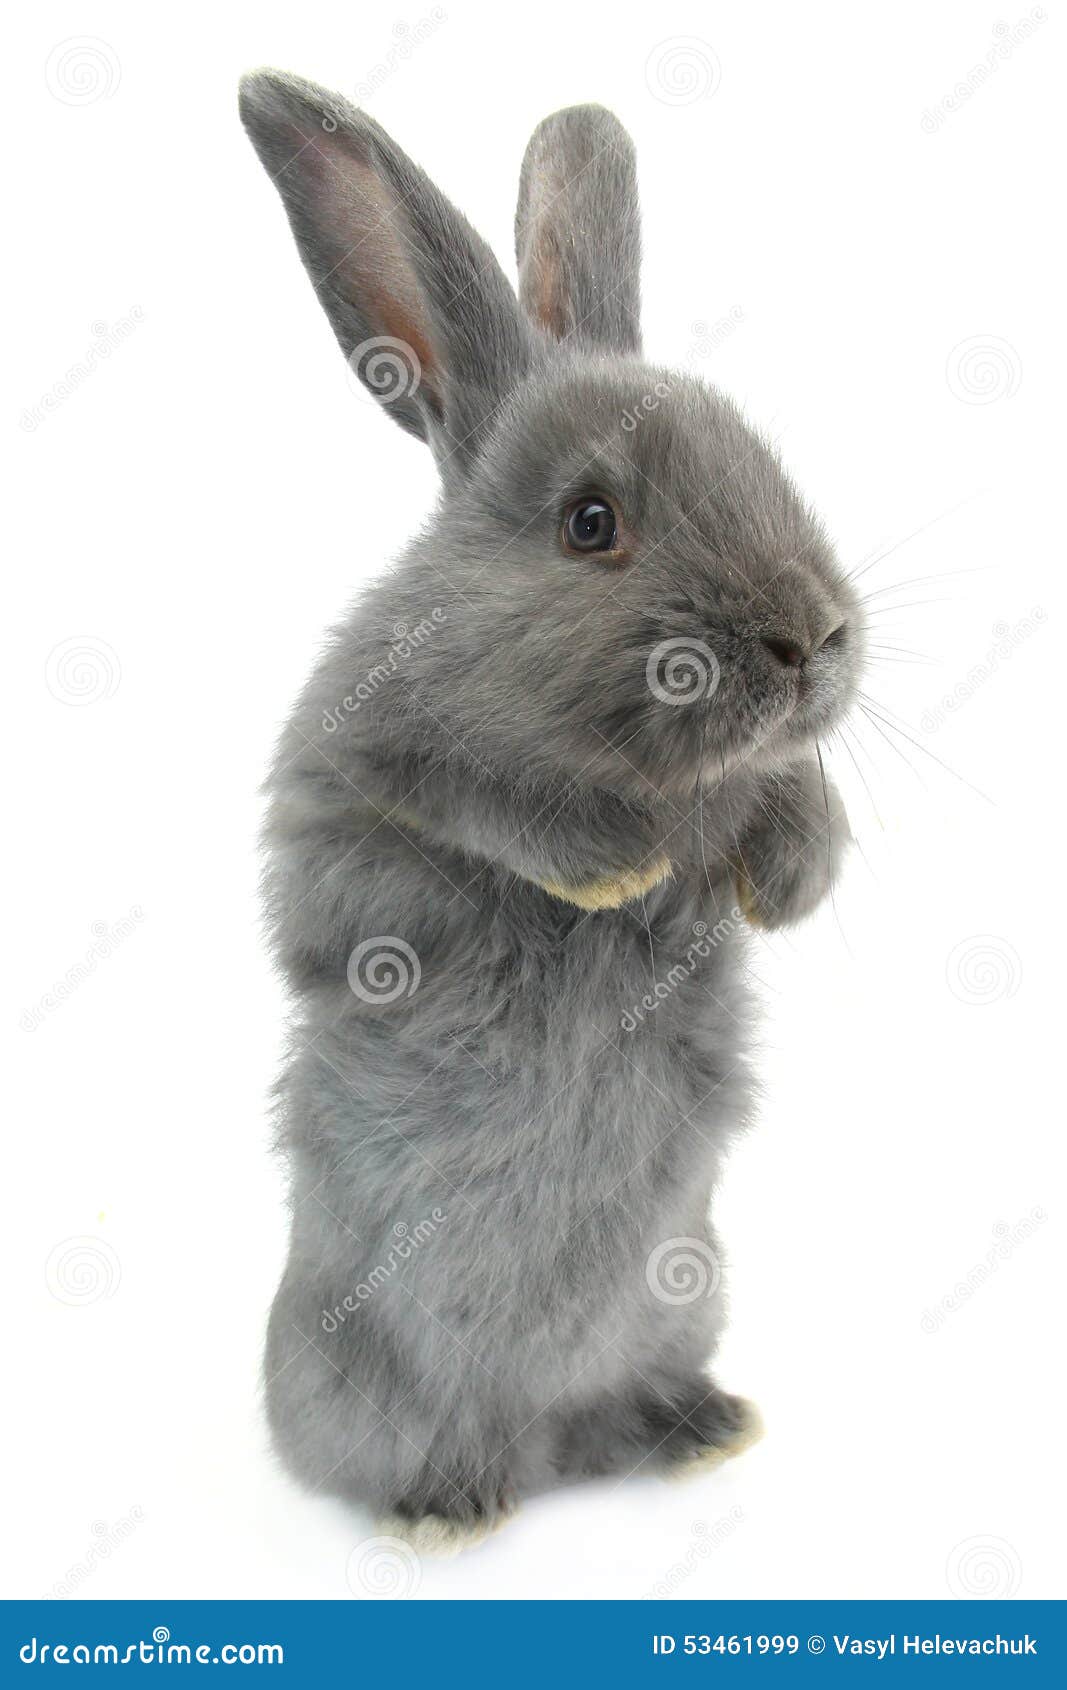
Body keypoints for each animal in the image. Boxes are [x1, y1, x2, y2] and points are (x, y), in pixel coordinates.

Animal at [239, 71, 862, 1553]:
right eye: (588, 523)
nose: (813, 639)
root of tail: (540, 1439)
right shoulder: (356, 756)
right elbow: (486, 799)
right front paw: (616, 867)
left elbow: (791, 794)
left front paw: (778, 877)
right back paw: (443, 1509)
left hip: (682, 1299)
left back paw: (699, 1427)